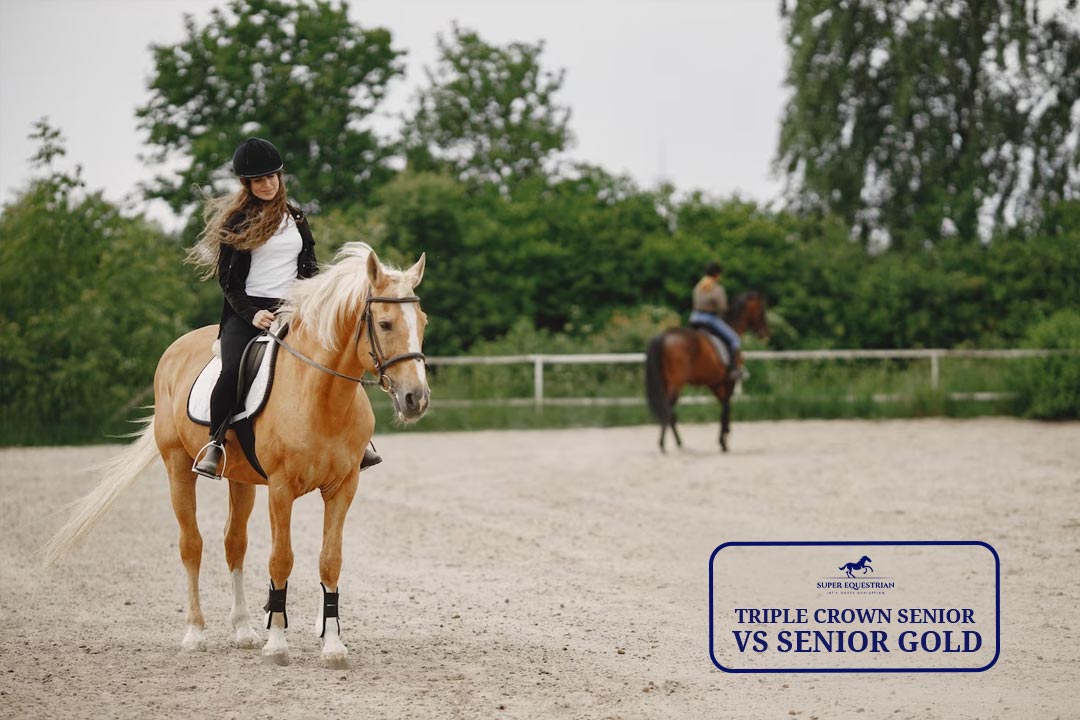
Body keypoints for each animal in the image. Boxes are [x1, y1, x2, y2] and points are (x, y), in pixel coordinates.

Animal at [42, 243, 429, 668]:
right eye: (386, 323)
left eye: (423, 322)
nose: (416, 398)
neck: (320, 394)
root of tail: (176, 349)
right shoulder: (281, 488)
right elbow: (280, 558)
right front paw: (277, 644)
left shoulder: (343, 486)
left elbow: (330, 559)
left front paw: (332, 646)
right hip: (178, 467)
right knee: (191, 545)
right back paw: (195, 633)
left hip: (242, 480)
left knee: (234, 544)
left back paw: (243, 630)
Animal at [644, 292, 770, 453]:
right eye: (762, 311)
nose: (765, 334)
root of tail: (664, 336)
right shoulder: (728, 381)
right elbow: (726, 407)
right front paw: (724, 441)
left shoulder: (715, 383)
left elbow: (724, 406)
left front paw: (723, 440)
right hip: (676, 383)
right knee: (668, 407)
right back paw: (664, 444)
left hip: (667, 383)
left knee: (669, 410)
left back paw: (678, 443)